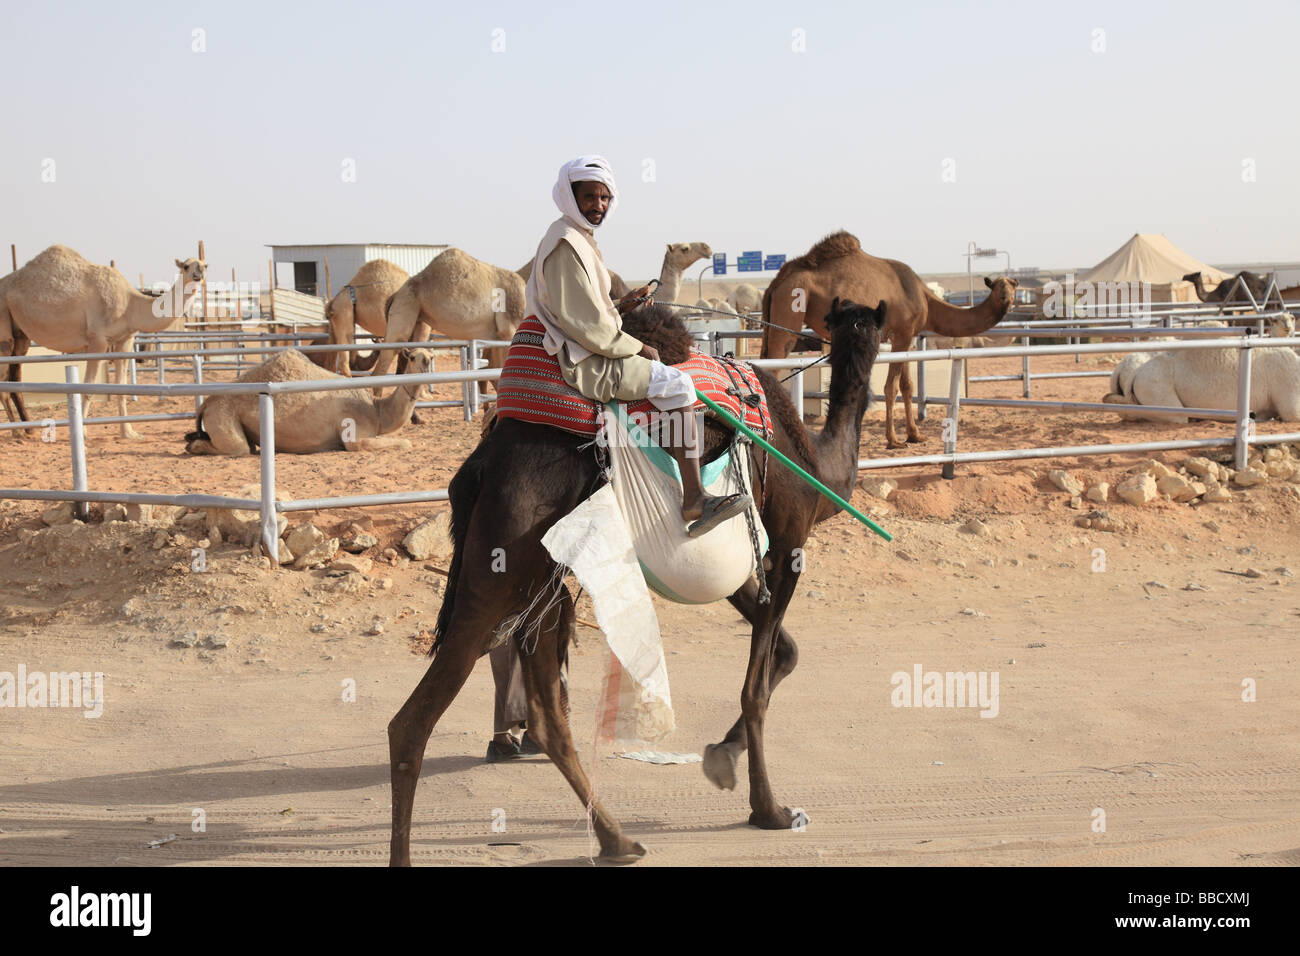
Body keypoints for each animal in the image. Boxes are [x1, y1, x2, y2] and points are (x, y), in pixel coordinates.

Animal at [1, 245, 205, 439]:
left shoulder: (125, 339)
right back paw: (17, 432)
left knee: (15, 378)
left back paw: (28, 430)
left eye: (205, 264)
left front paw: (128, 433)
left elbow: (122, 388)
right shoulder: (97, 339)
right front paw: (82, 433)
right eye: (186, 266)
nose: (199, 273)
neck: (131, 304)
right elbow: (89, 388)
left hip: (21, 335)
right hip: (4, 323)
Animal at [184, 347, 432, 455]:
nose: (428, 361)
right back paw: (191, 446)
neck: (376, 409)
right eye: (413, 357)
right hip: (222, 415)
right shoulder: (355, 434)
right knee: (239, 448)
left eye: (430, 354)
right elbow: (404, 442)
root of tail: (207, 403)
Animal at [369, 248, 524, 393]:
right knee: (388, 356)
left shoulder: (500, 335)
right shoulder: (510, 329)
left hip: (416, 315)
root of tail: (394, 295)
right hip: (405, 304)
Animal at [387, 297, 887, 864]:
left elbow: (786, 652)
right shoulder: (787, 545)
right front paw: (770, 809)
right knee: (416, 718)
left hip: (539, 581)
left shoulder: (747, 564)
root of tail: (480, 464)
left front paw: (722, 755)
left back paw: (616, 837)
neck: (814, 464)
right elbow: (756, 688)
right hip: (500, 564)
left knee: (546, 711)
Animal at [760, 231, 1017, 448]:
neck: (924, 297)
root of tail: (778, 281)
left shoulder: (908, 334)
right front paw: (894, 440)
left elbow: (908, 385)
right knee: (774, 363)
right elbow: (891, 386)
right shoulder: (902, 332)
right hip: (791, 307)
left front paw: (915, 435)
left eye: (1012, 286)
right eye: (998, 287)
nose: (1007, 298)